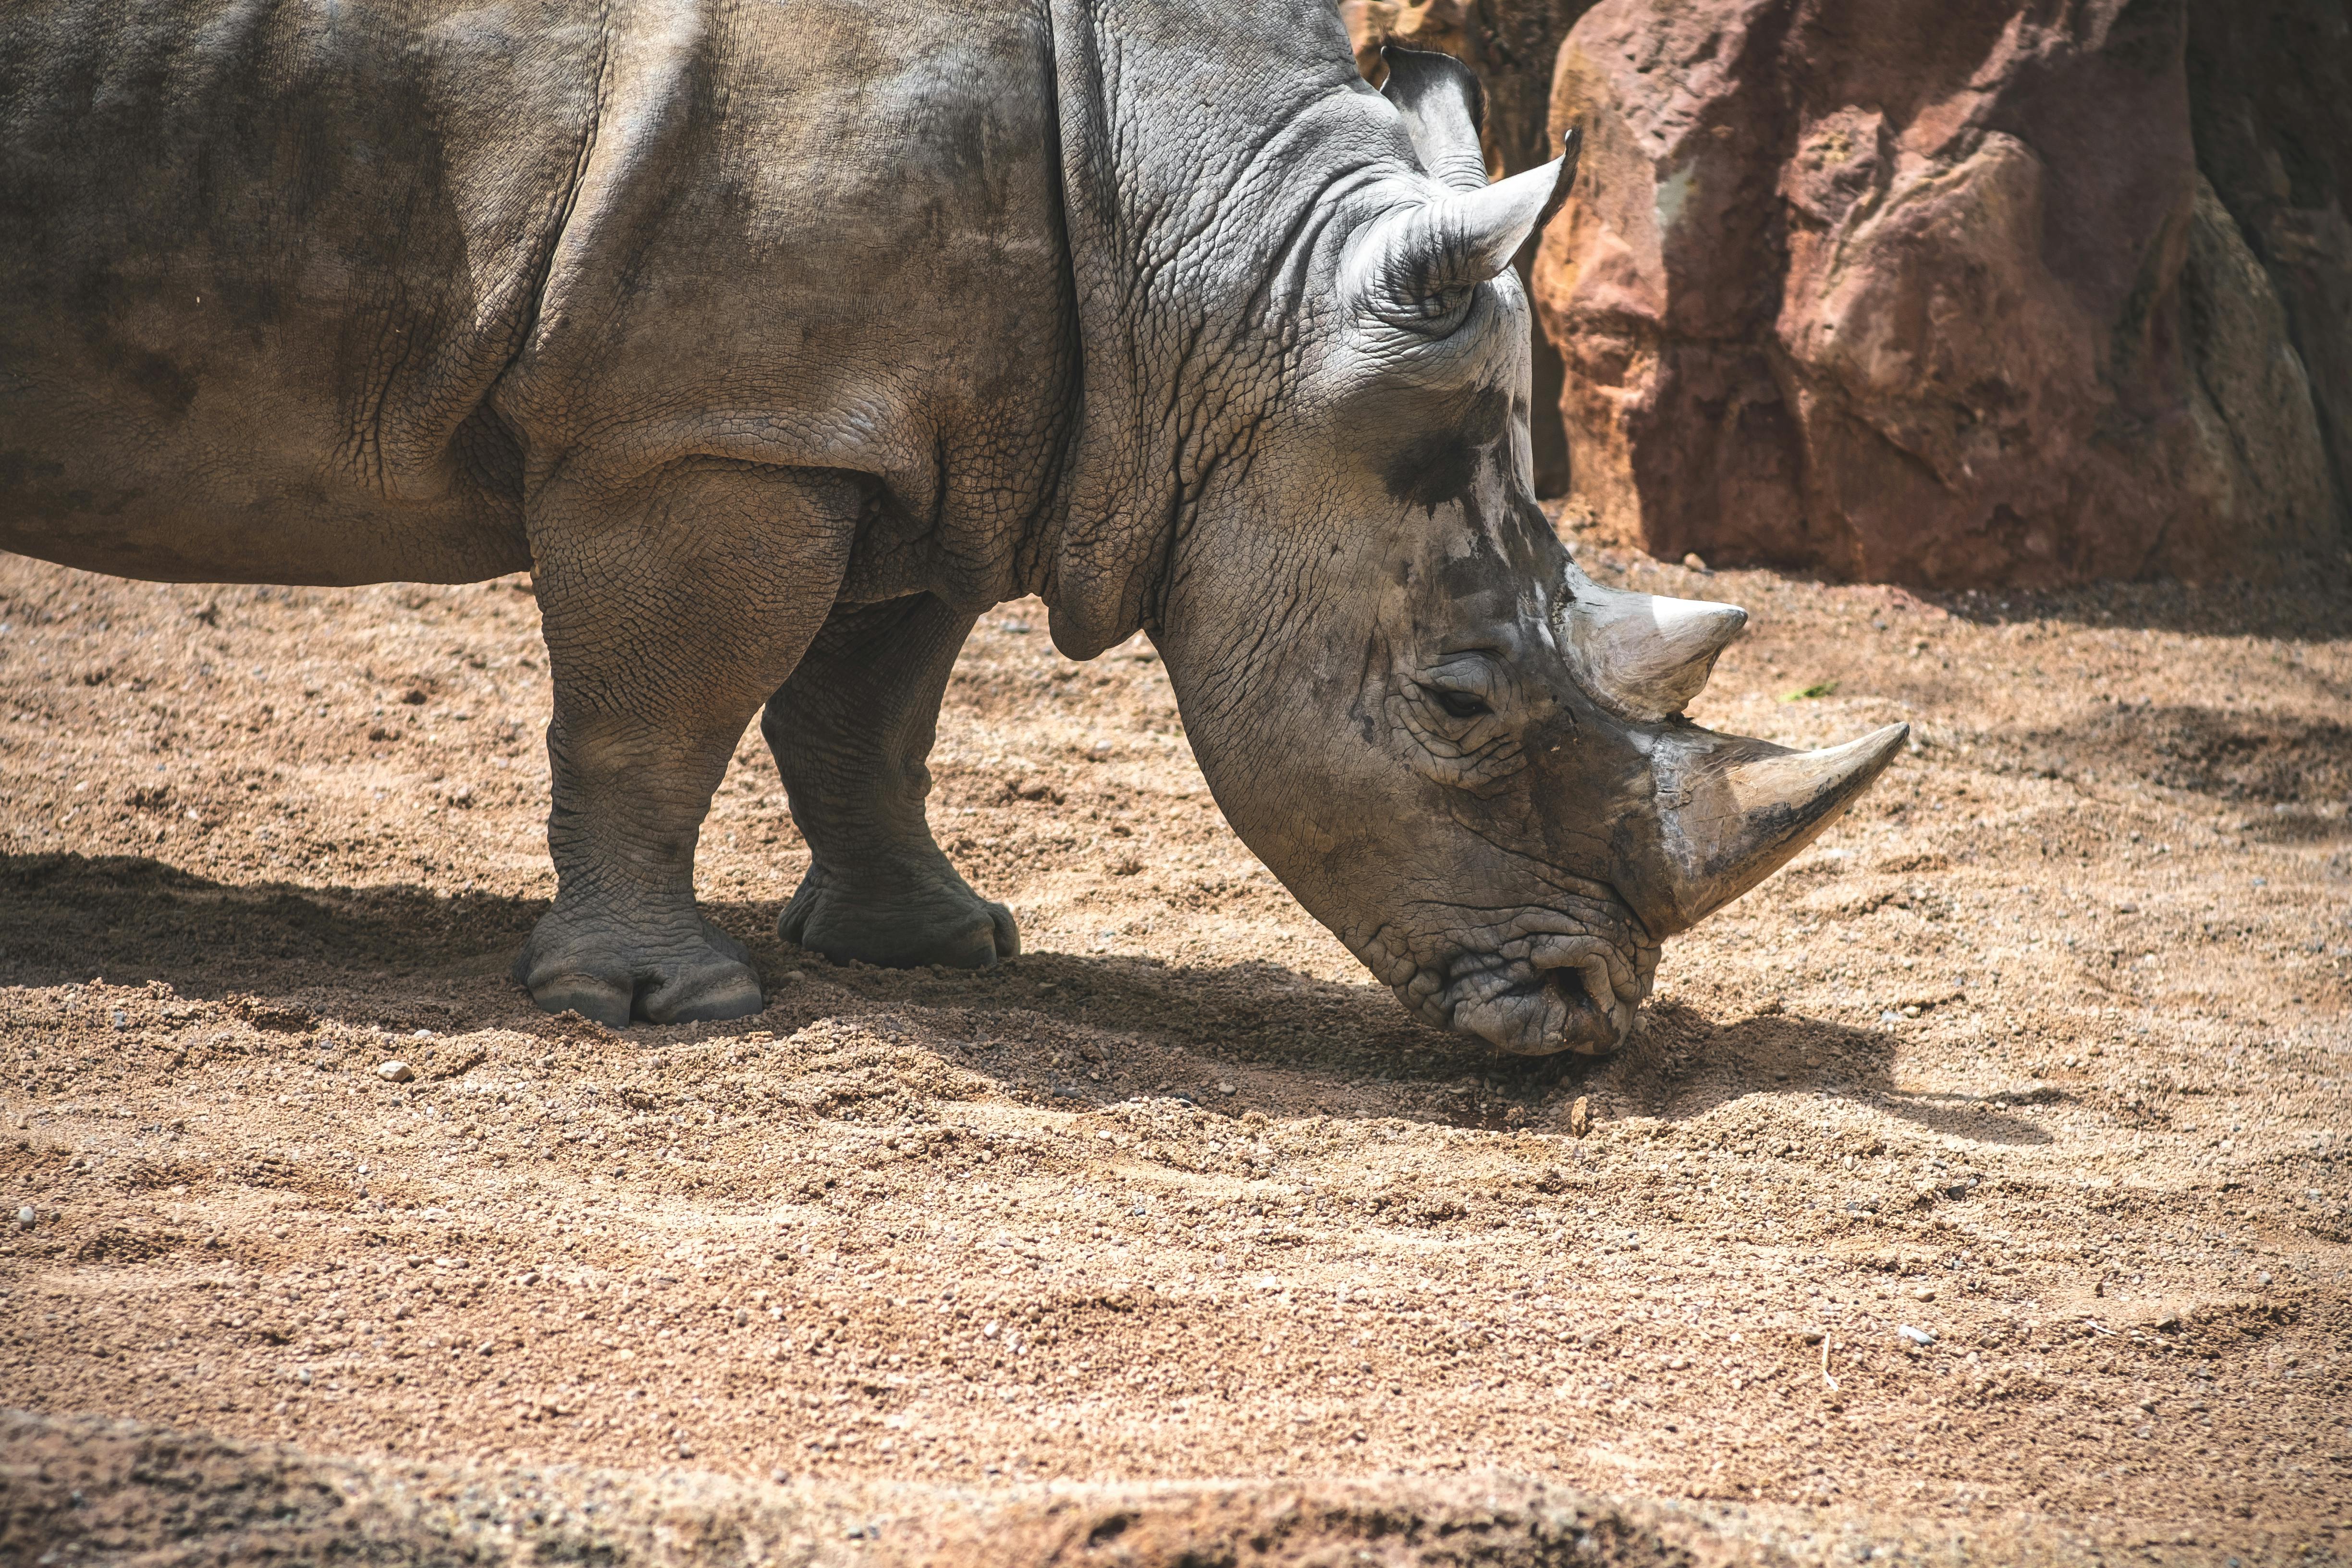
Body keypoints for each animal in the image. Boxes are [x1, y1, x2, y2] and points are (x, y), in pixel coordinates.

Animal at [0, 0, 1902, 1051]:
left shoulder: (916, 421)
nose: (1590, 1019)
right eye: (1455, 701)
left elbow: (868, 709)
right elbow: (657, 712)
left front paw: (940, 945)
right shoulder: (705, 425)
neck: (1213, 249)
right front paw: (659, 1008)